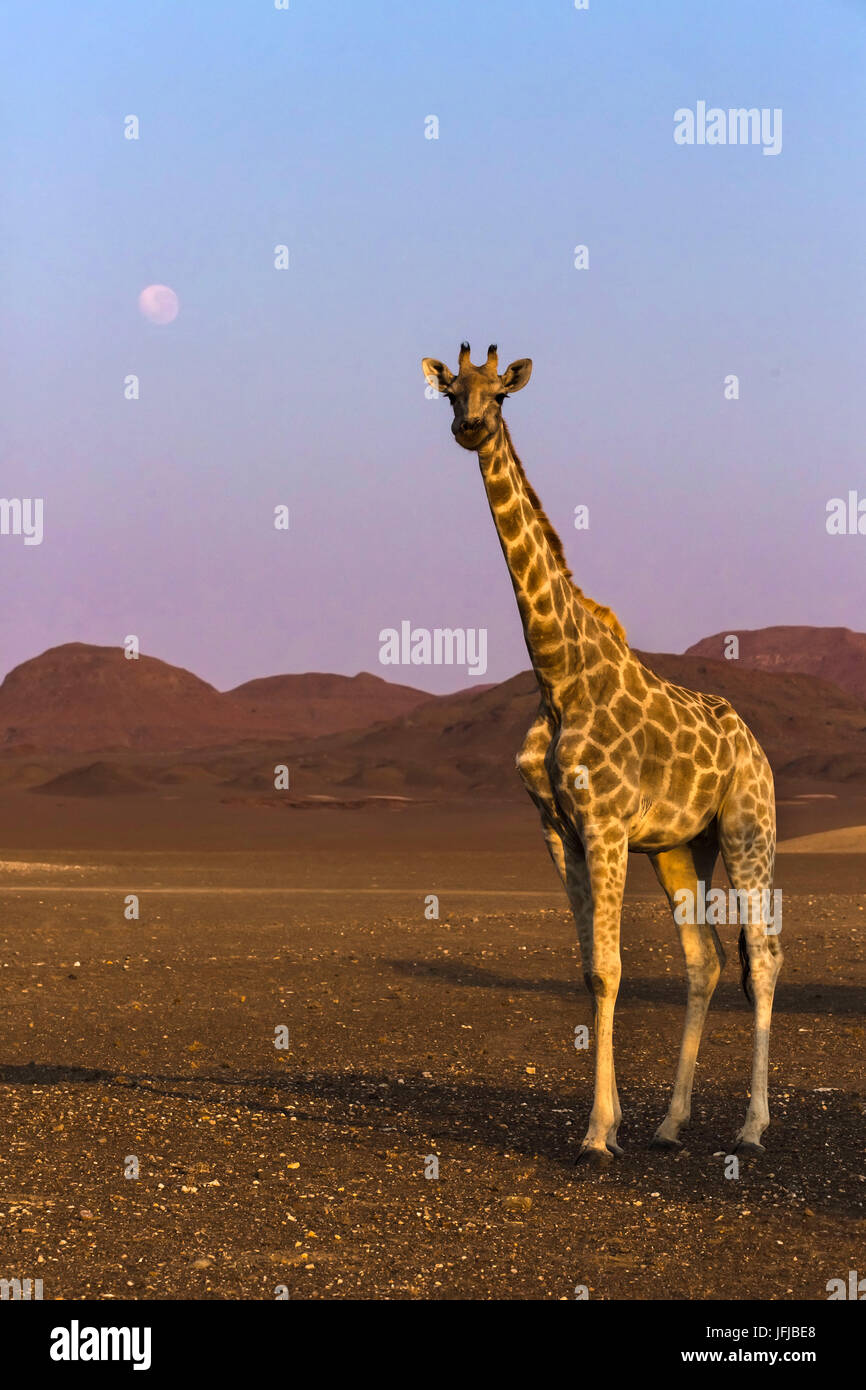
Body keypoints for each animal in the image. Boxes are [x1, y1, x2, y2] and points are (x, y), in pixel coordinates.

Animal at [421, 342, 782, 1166]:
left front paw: (592, 1135)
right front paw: (613, 1124)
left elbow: (613, 970)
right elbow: (593, 970)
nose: (470, 427)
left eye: (500, 393)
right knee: (706, 960)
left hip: (748, 830)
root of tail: (756, 746)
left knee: (762, 955)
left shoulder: (608, 823)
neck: (556, 673)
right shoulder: (561, 829)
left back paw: (751, 1127)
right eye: (451, 391)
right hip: (683, 846)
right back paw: (671, 1124)